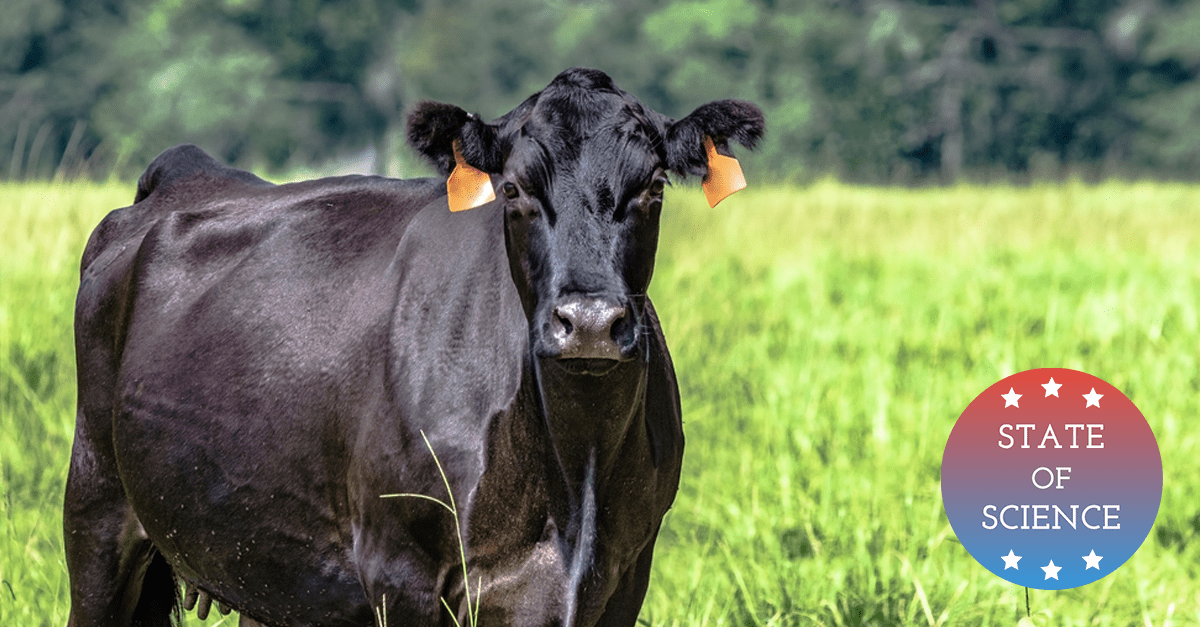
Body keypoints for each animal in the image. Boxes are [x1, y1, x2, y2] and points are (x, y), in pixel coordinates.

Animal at [64, 67, 763, 627]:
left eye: (654, 188)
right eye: (513, 190)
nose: (589, 321)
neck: (572, 473)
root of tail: (187, 170)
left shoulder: (622, 575)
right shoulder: (401, 572)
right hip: (97, 509)